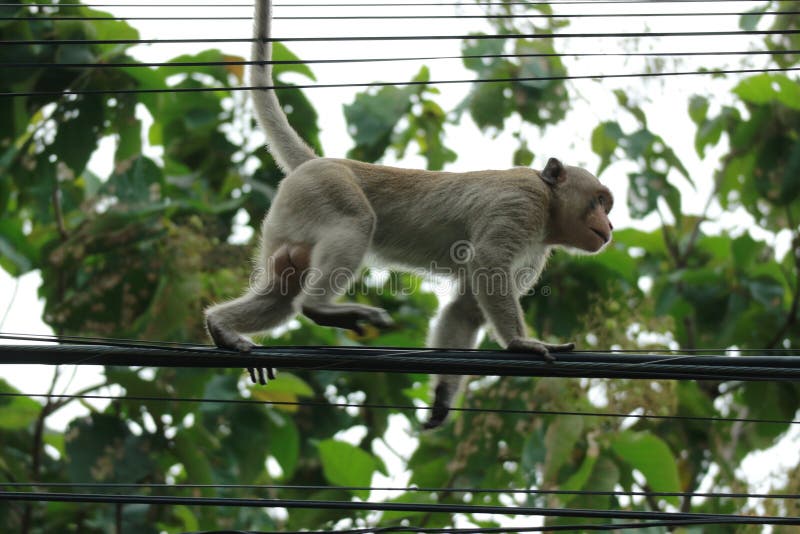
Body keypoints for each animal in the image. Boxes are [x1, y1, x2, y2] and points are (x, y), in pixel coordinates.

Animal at [205, 0, 614, 429]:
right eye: (599, 200)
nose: (609, 224)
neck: (549, 207)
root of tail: (318, 163)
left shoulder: (536, 249)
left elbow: (465, 309)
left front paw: (443, 396)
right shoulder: (520, 204)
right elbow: (488, 263)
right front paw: (521, 343)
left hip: (288, 221)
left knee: (282, 292)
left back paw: (222, 326)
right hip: (323, 189)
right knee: (354, 225)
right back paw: (319, 307)